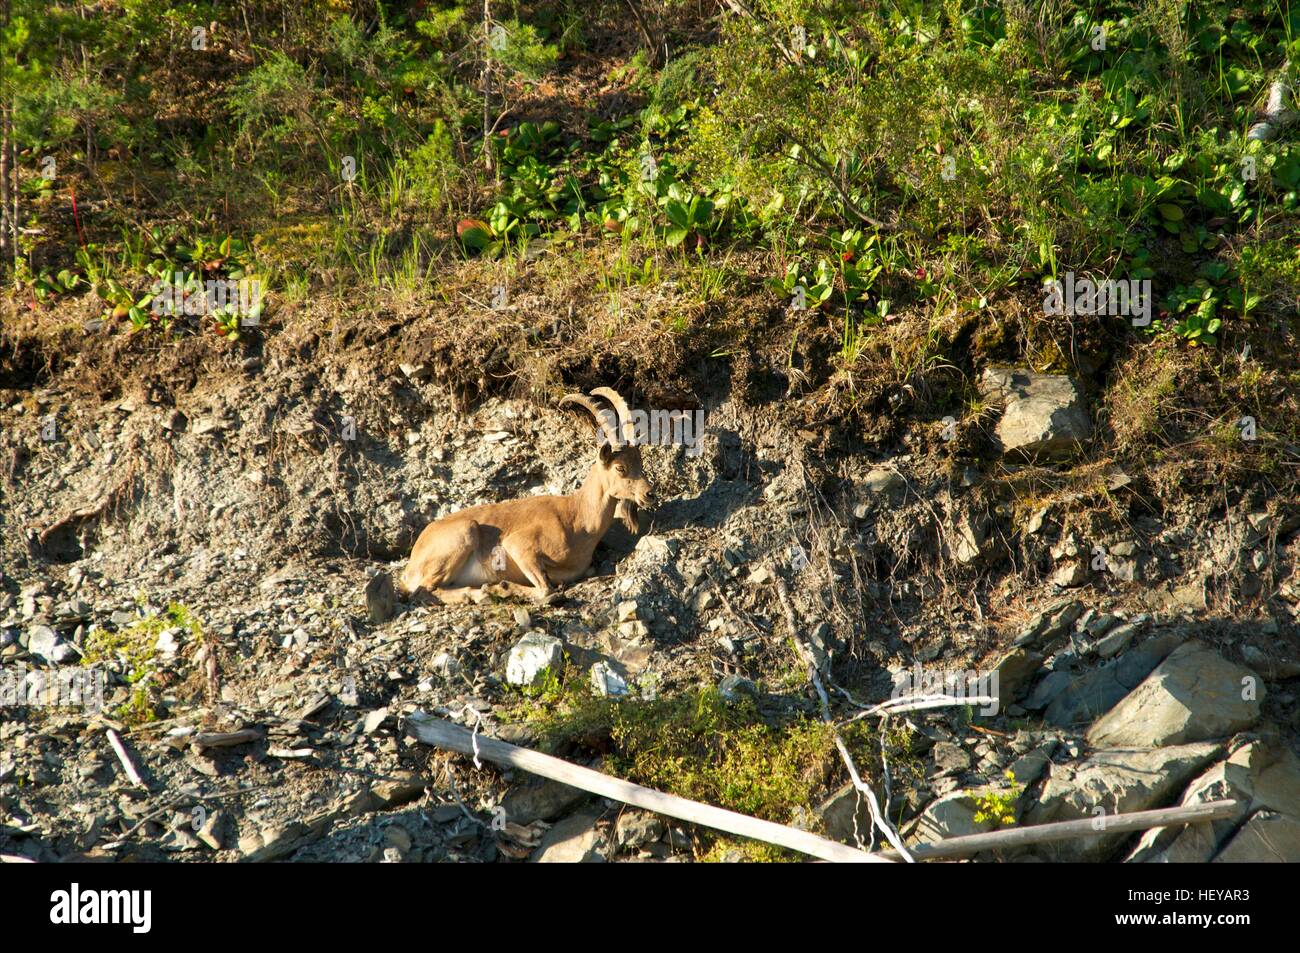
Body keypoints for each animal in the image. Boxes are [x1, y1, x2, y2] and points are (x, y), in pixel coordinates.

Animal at [397, 388, 653, 603]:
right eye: (620, 467)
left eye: (640, 463)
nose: (649, 493)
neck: (577, 519)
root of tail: (411, 564)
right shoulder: (519, 545)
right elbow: (546, 589)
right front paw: (503, 586)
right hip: (462, 534)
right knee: (423, 590)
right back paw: (481, 593)